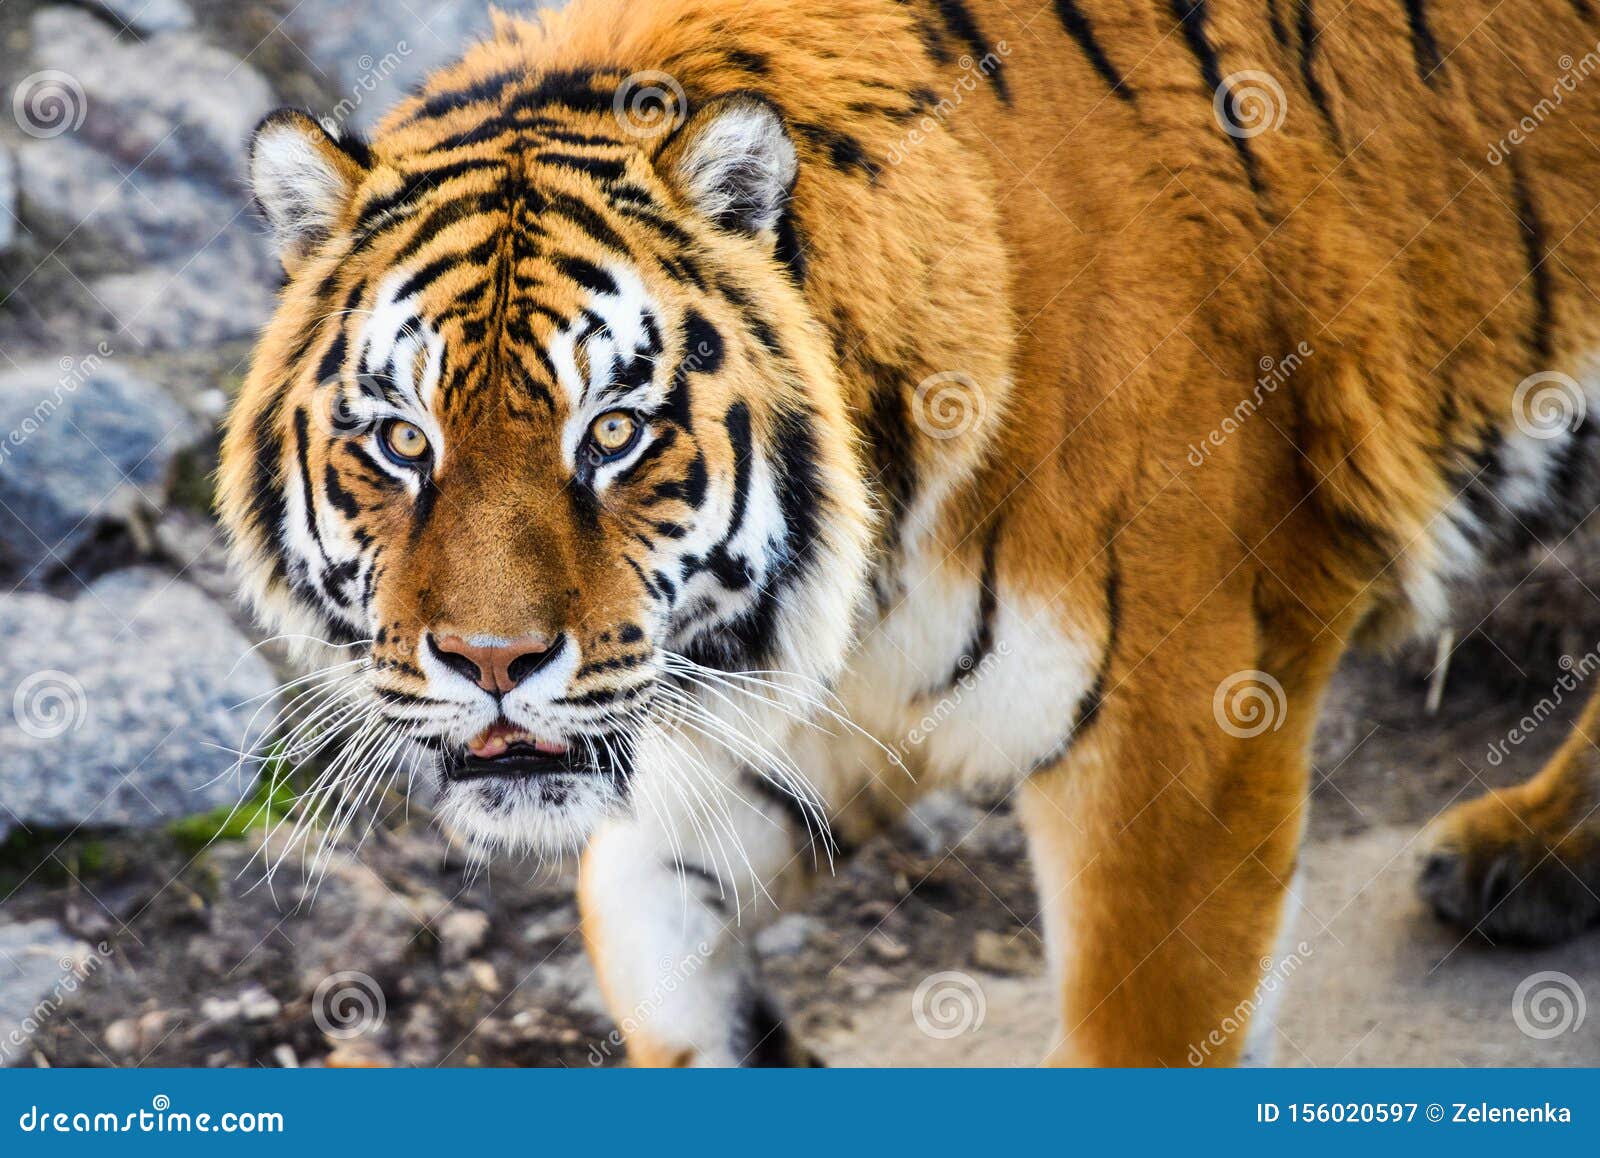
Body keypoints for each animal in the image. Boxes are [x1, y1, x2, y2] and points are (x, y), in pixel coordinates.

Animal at [219, 0, 1600, 1066]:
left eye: (611, 432)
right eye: (404, 441)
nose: (491, 663)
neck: (863, 566)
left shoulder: (1182, 734)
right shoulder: (803, 707)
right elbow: (633, 902)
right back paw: (1531, 860)